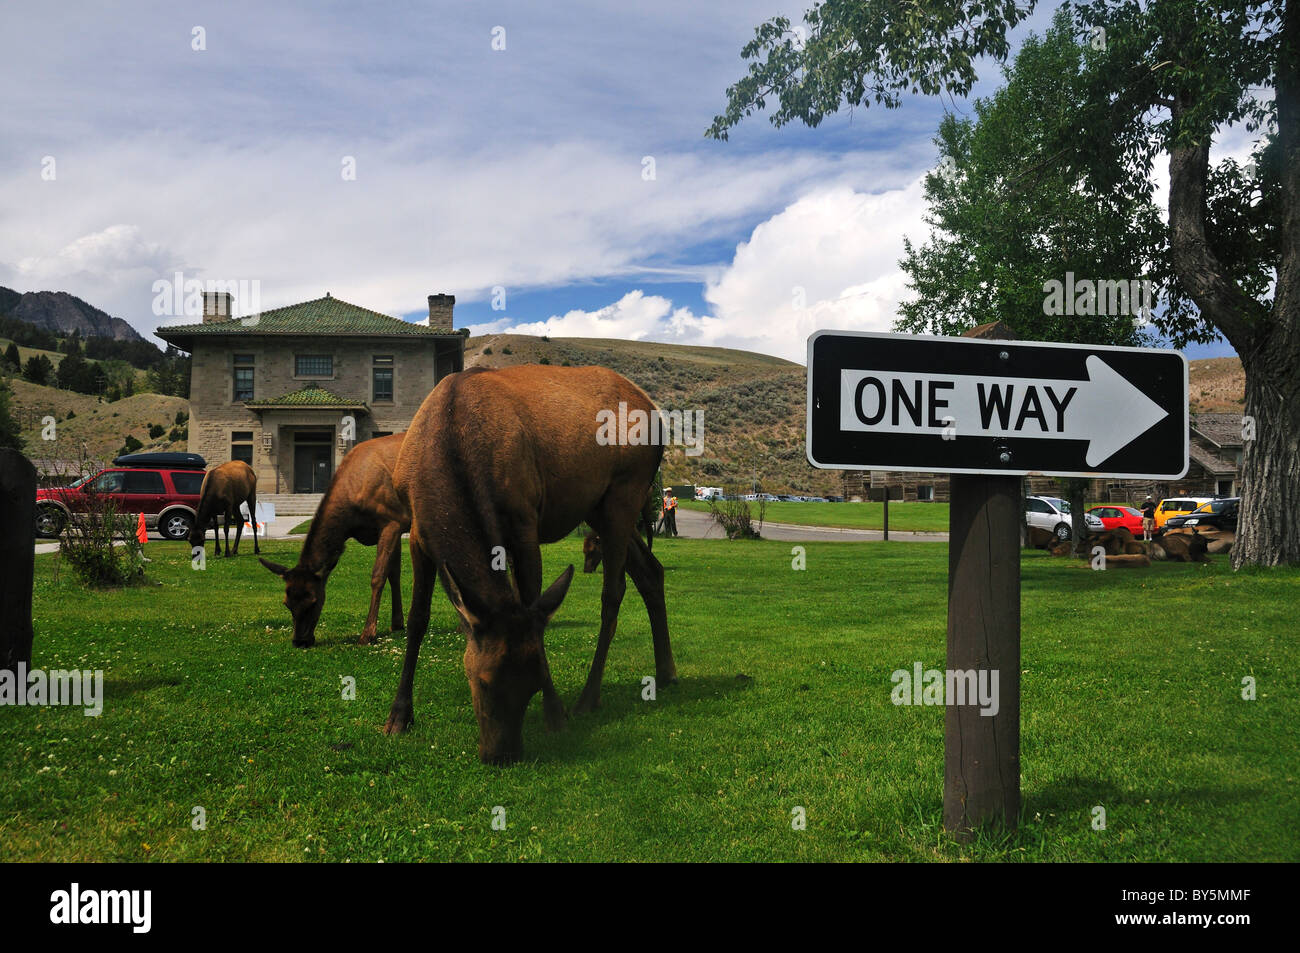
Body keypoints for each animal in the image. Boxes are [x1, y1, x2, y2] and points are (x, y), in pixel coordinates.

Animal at [259, 433, 410, 647]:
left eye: (313, 600)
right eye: (286, 603)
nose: (299, 641)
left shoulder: (392, 521)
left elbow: (378, 576)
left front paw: (368, 633)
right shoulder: (395, 524)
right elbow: (394, 574)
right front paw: (397, 624)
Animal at [384, 364, 676, 765]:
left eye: (534, 679)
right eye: (481, 679)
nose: (502, 755)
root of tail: (657, 416)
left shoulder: (525, 521)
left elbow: (534, 609)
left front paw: (556, 713)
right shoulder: (417, 532)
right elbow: (417, 621)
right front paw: (398, 715)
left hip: (624, 491)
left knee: (613, 591)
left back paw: (588, 697)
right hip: (597, 507)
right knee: (651, 571)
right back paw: (666, 672)